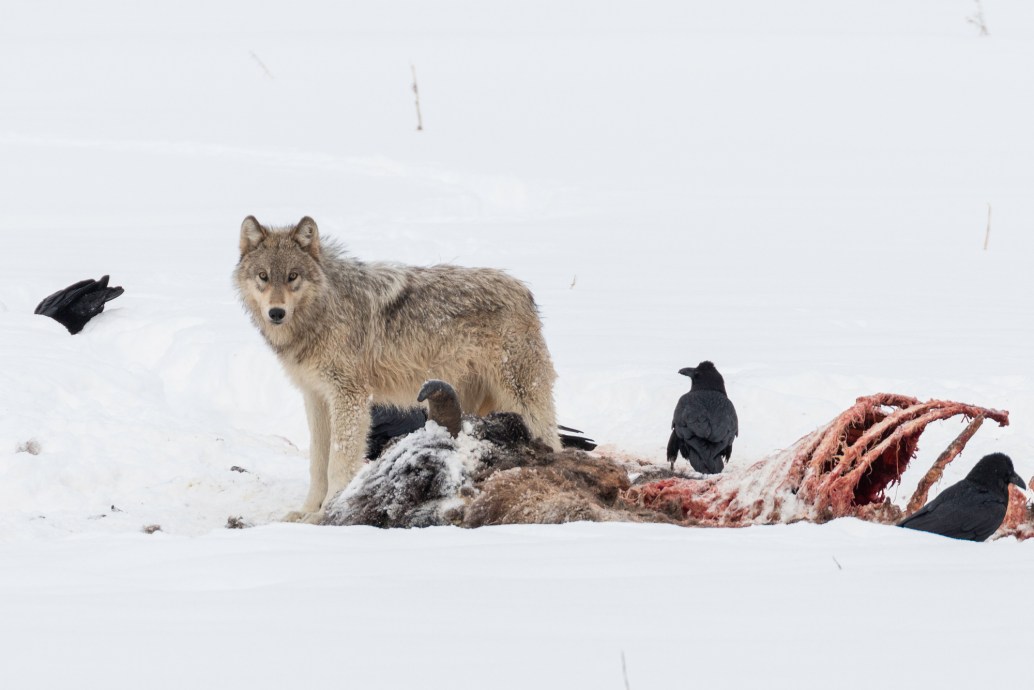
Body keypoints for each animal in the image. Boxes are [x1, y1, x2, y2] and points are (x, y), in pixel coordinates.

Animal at [234, 216, 560, 522]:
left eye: (293, 276)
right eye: (263, 276)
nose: (276, 313)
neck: (324, 310)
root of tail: (524, 292)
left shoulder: (349, 397)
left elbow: (338, 463)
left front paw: (324, 513)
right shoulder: (315, 396)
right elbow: (318, 463)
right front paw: (305, 511)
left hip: (523, 403)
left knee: (554, 444)